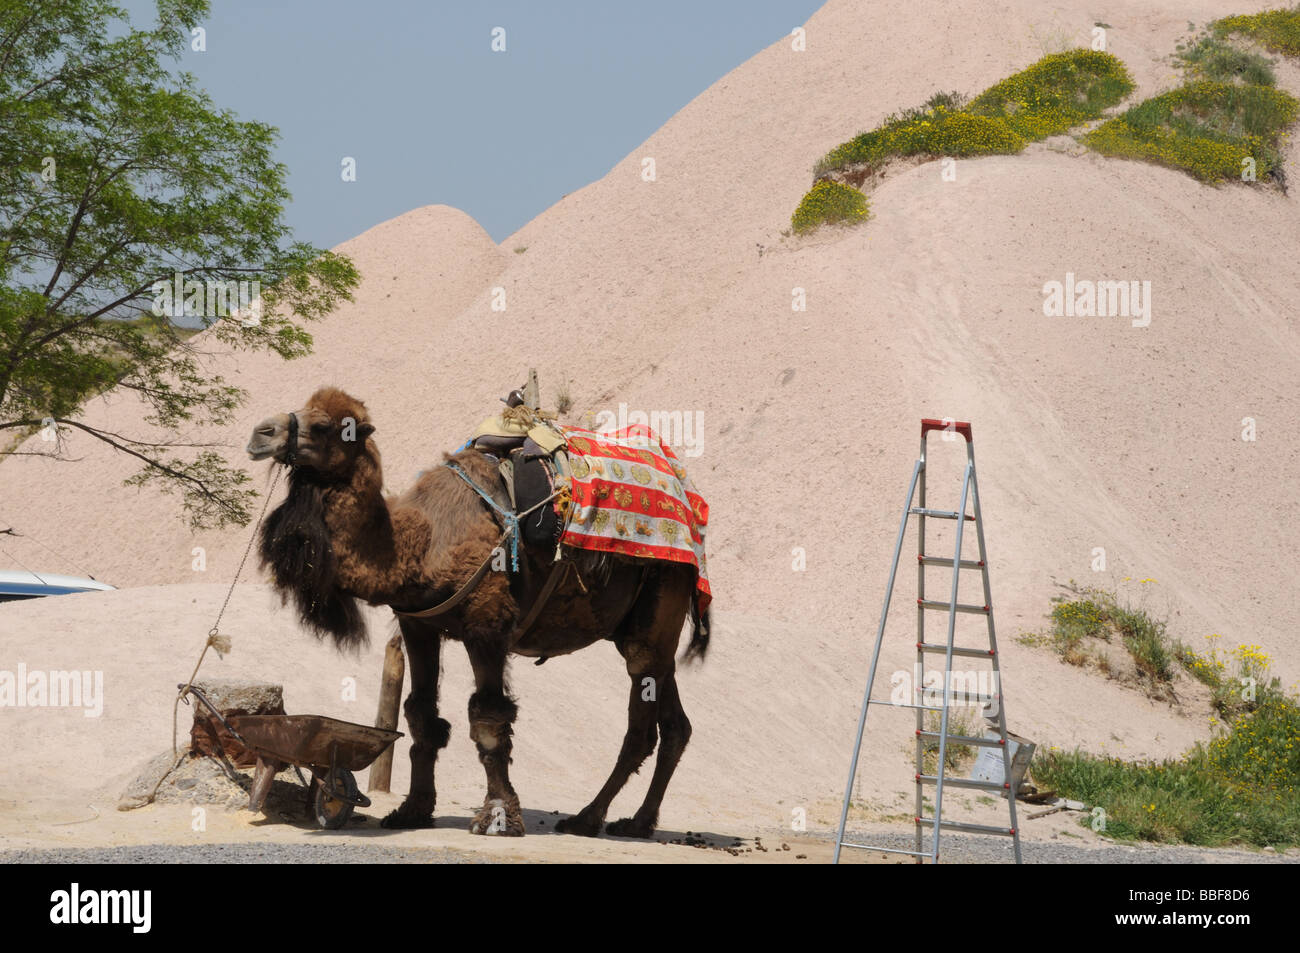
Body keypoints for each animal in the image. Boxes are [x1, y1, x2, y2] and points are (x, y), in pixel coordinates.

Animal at [245, 386, 709, 838]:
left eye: (324, 425)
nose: (261, 433)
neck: (419, 544)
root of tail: (688, 505)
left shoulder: (487, 623)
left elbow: (488, 720)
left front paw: (498, 817)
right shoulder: (418, 624)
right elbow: (421, 715)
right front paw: (412, 810)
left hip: (660, 598)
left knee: (640, 728)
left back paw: (588, 818)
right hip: (641, 633)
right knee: (675, 723)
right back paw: (638, 822)